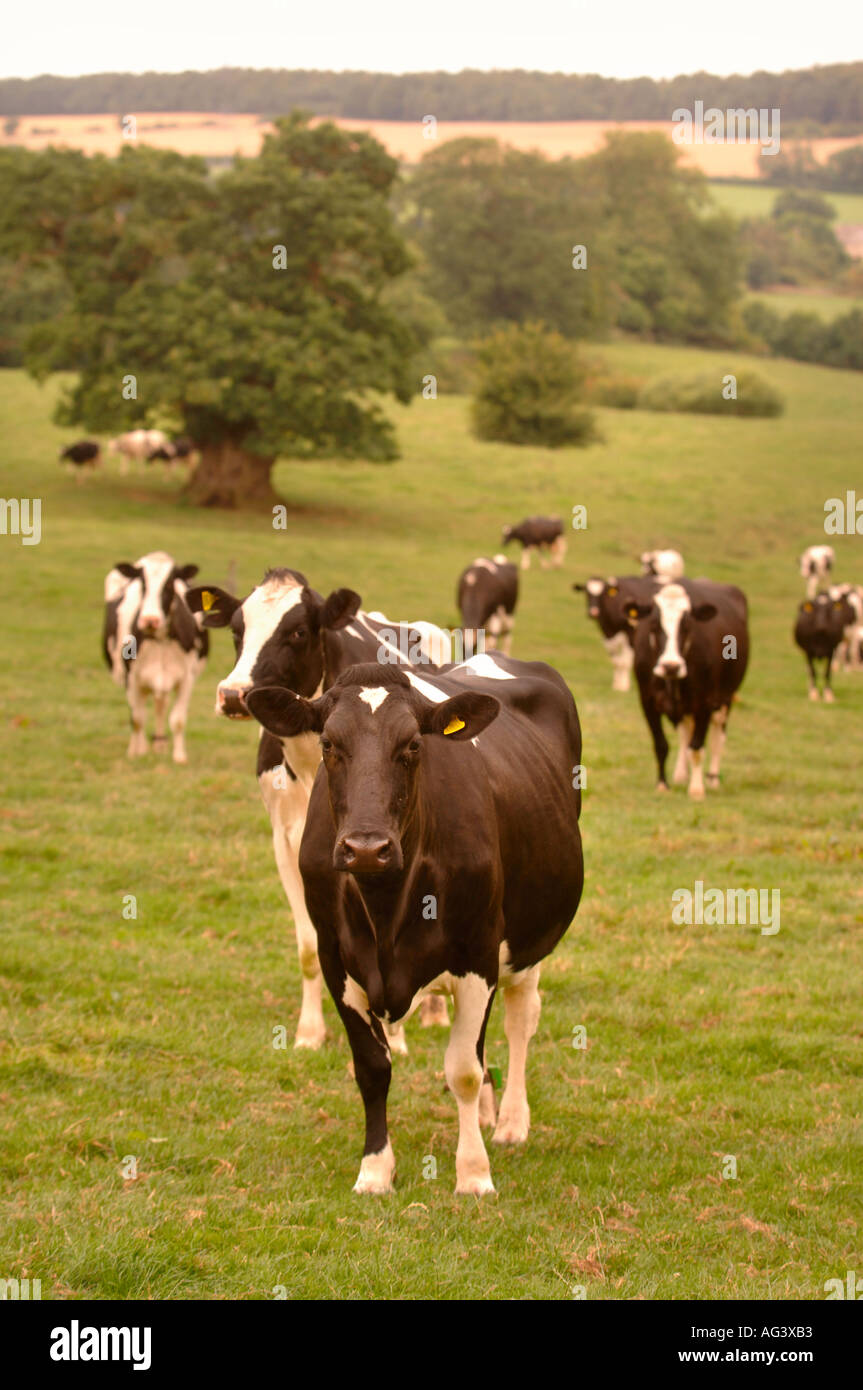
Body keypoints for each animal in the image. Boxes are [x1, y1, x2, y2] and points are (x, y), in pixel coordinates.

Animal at [103, 551, 208, 763]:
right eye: (143, 583)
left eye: (169, 584)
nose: (150, 619)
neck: (160, 640)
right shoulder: (132, 677)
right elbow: (137, 718)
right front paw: (136, 753)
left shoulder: (187, 678)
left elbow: (178, 719)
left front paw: (179, 757)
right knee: (139, 710)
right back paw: (141, 746)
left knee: (160, 705)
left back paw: (159, 744)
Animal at [184, 568, 453, 1050]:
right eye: (236, 630)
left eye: (297, 632)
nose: (233, 694)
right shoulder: (285, 840)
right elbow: (309, 946)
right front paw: (309, 1032)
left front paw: (396, 1037)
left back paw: (434, 1015)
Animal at [244, 654, 584, 1195]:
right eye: (328, 744)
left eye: (414, 745)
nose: (365, 847)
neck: (387, 905)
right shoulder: (336, 960)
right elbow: (372, 1068)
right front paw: (375, 1170)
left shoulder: (479, 957)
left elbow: (463, 1069)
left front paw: (473, 1174)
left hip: (530, 939)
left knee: (519, 1021)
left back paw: (511, 1122)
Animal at [625, 579, 749, 798]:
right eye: (654, 624)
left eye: (687, 625)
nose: (671, 666)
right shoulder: (647, 701)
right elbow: (661, 744)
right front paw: (662, 784)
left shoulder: (705, 703)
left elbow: (697, 747)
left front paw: (696, 789)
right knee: (685, 734)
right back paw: (681, 774)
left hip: (725, 699)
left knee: (718, 738)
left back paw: (712, 778)